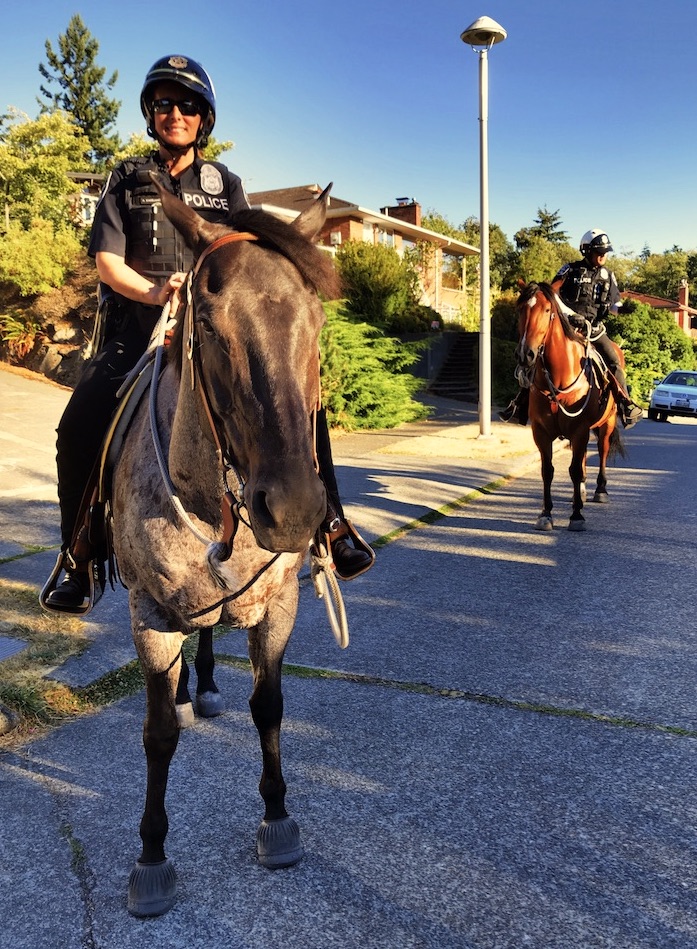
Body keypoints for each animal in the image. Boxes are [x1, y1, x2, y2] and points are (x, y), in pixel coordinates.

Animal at [111, 177, 340, 917]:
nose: (294, 509)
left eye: (316, 324)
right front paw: (152, 854)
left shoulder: (278, 607)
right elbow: (158, 734)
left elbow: (268, 708)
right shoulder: (149, 615)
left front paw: (277, 819)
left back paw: (205, 683)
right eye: (209, 327)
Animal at [514, 281, 624, 532]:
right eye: (521, 310)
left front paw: (576, 516)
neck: (559, 378)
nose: (526, 354)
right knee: (581, 460)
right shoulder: (541, 432)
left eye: (547, 310)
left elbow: (574, 470)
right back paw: (580, 493)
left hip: (606, 424)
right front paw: (545, 514)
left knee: (601, 452)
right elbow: (548, 471)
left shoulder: (580, 429)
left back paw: (600, 491)